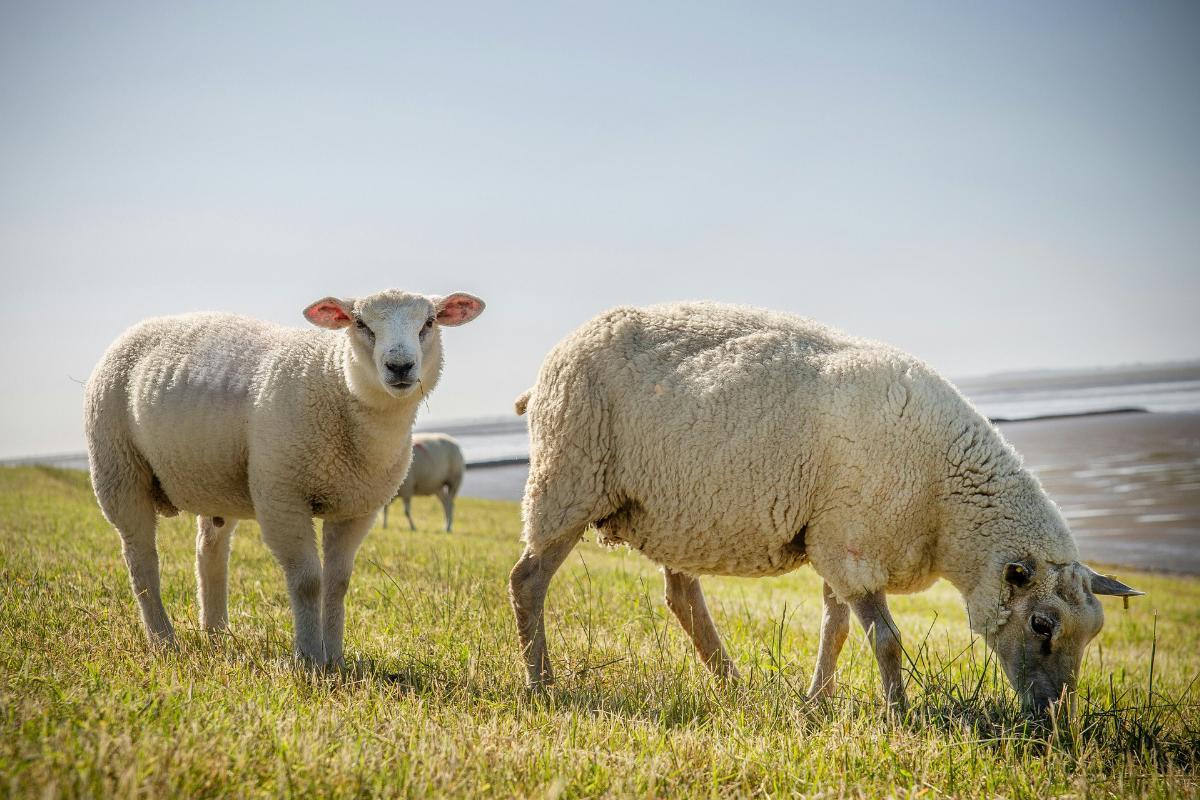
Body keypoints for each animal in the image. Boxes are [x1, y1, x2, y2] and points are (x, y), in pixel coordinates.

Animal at [85, 289, 485, 665]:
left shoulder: (356, 508)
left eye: (429, 322)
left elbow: (337, 583)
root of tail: (137, 328)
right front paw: (308, 658)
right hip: (117, 467)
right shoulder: (282, 495)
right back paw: (164, 640)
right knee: (141, 560)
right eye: (360, 324)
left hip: (215, 480)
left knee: (210, 550)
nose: (399, 366)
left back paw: (216, 633)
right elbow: (308, 582)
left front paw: (335, 659)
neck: (335, 383)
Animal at [509, 302, 1142, 713]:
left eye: (1093, 634)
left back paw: (734, 686)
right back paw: (542, 686)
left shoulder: (838, 539)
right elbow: (885, 639)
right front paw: (899, 715)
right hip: (568, 479)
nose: (1053, 721)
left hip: (677, 511)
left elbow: (835, 631)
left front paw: (817, 702)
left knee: (681, 597)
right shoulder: (852, 545)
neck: (945, 504)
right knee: (527, 581)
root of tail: (549, 363)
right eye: (1042, 625)